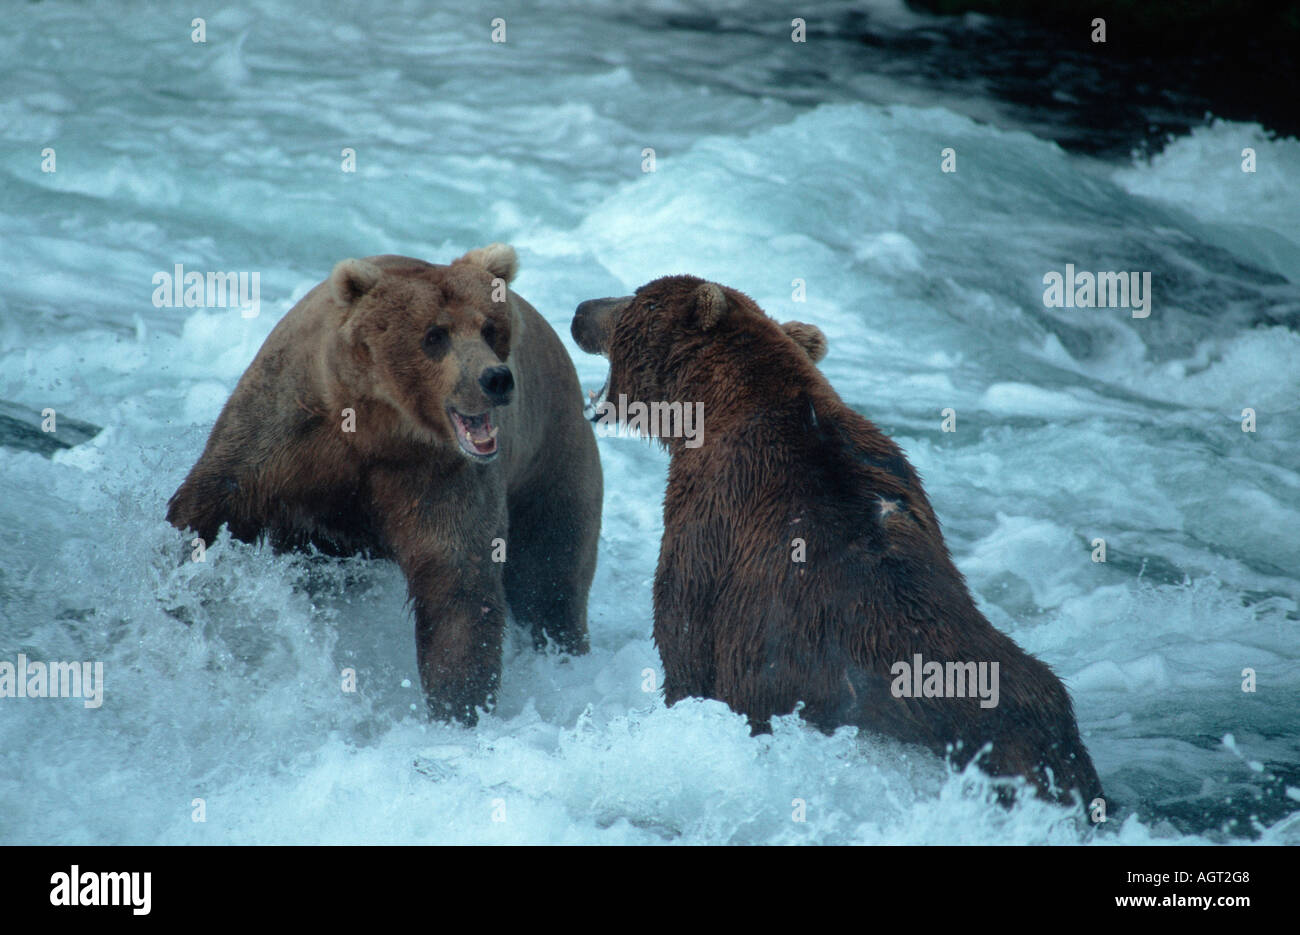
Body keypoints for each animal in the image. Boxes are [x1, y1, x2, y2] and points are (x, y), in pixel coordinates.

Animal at [167, 244, 602, 724]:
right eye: (435, 335)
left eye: (490, 328)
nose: (496, 378)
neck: (376, 425)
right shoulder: (287, 428)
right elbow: (214, 502)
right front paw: (181, 588)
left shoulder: (436, 474)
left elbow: (458, 582)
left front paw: (458, 705)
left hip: (552, 462)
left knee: (550, 575)